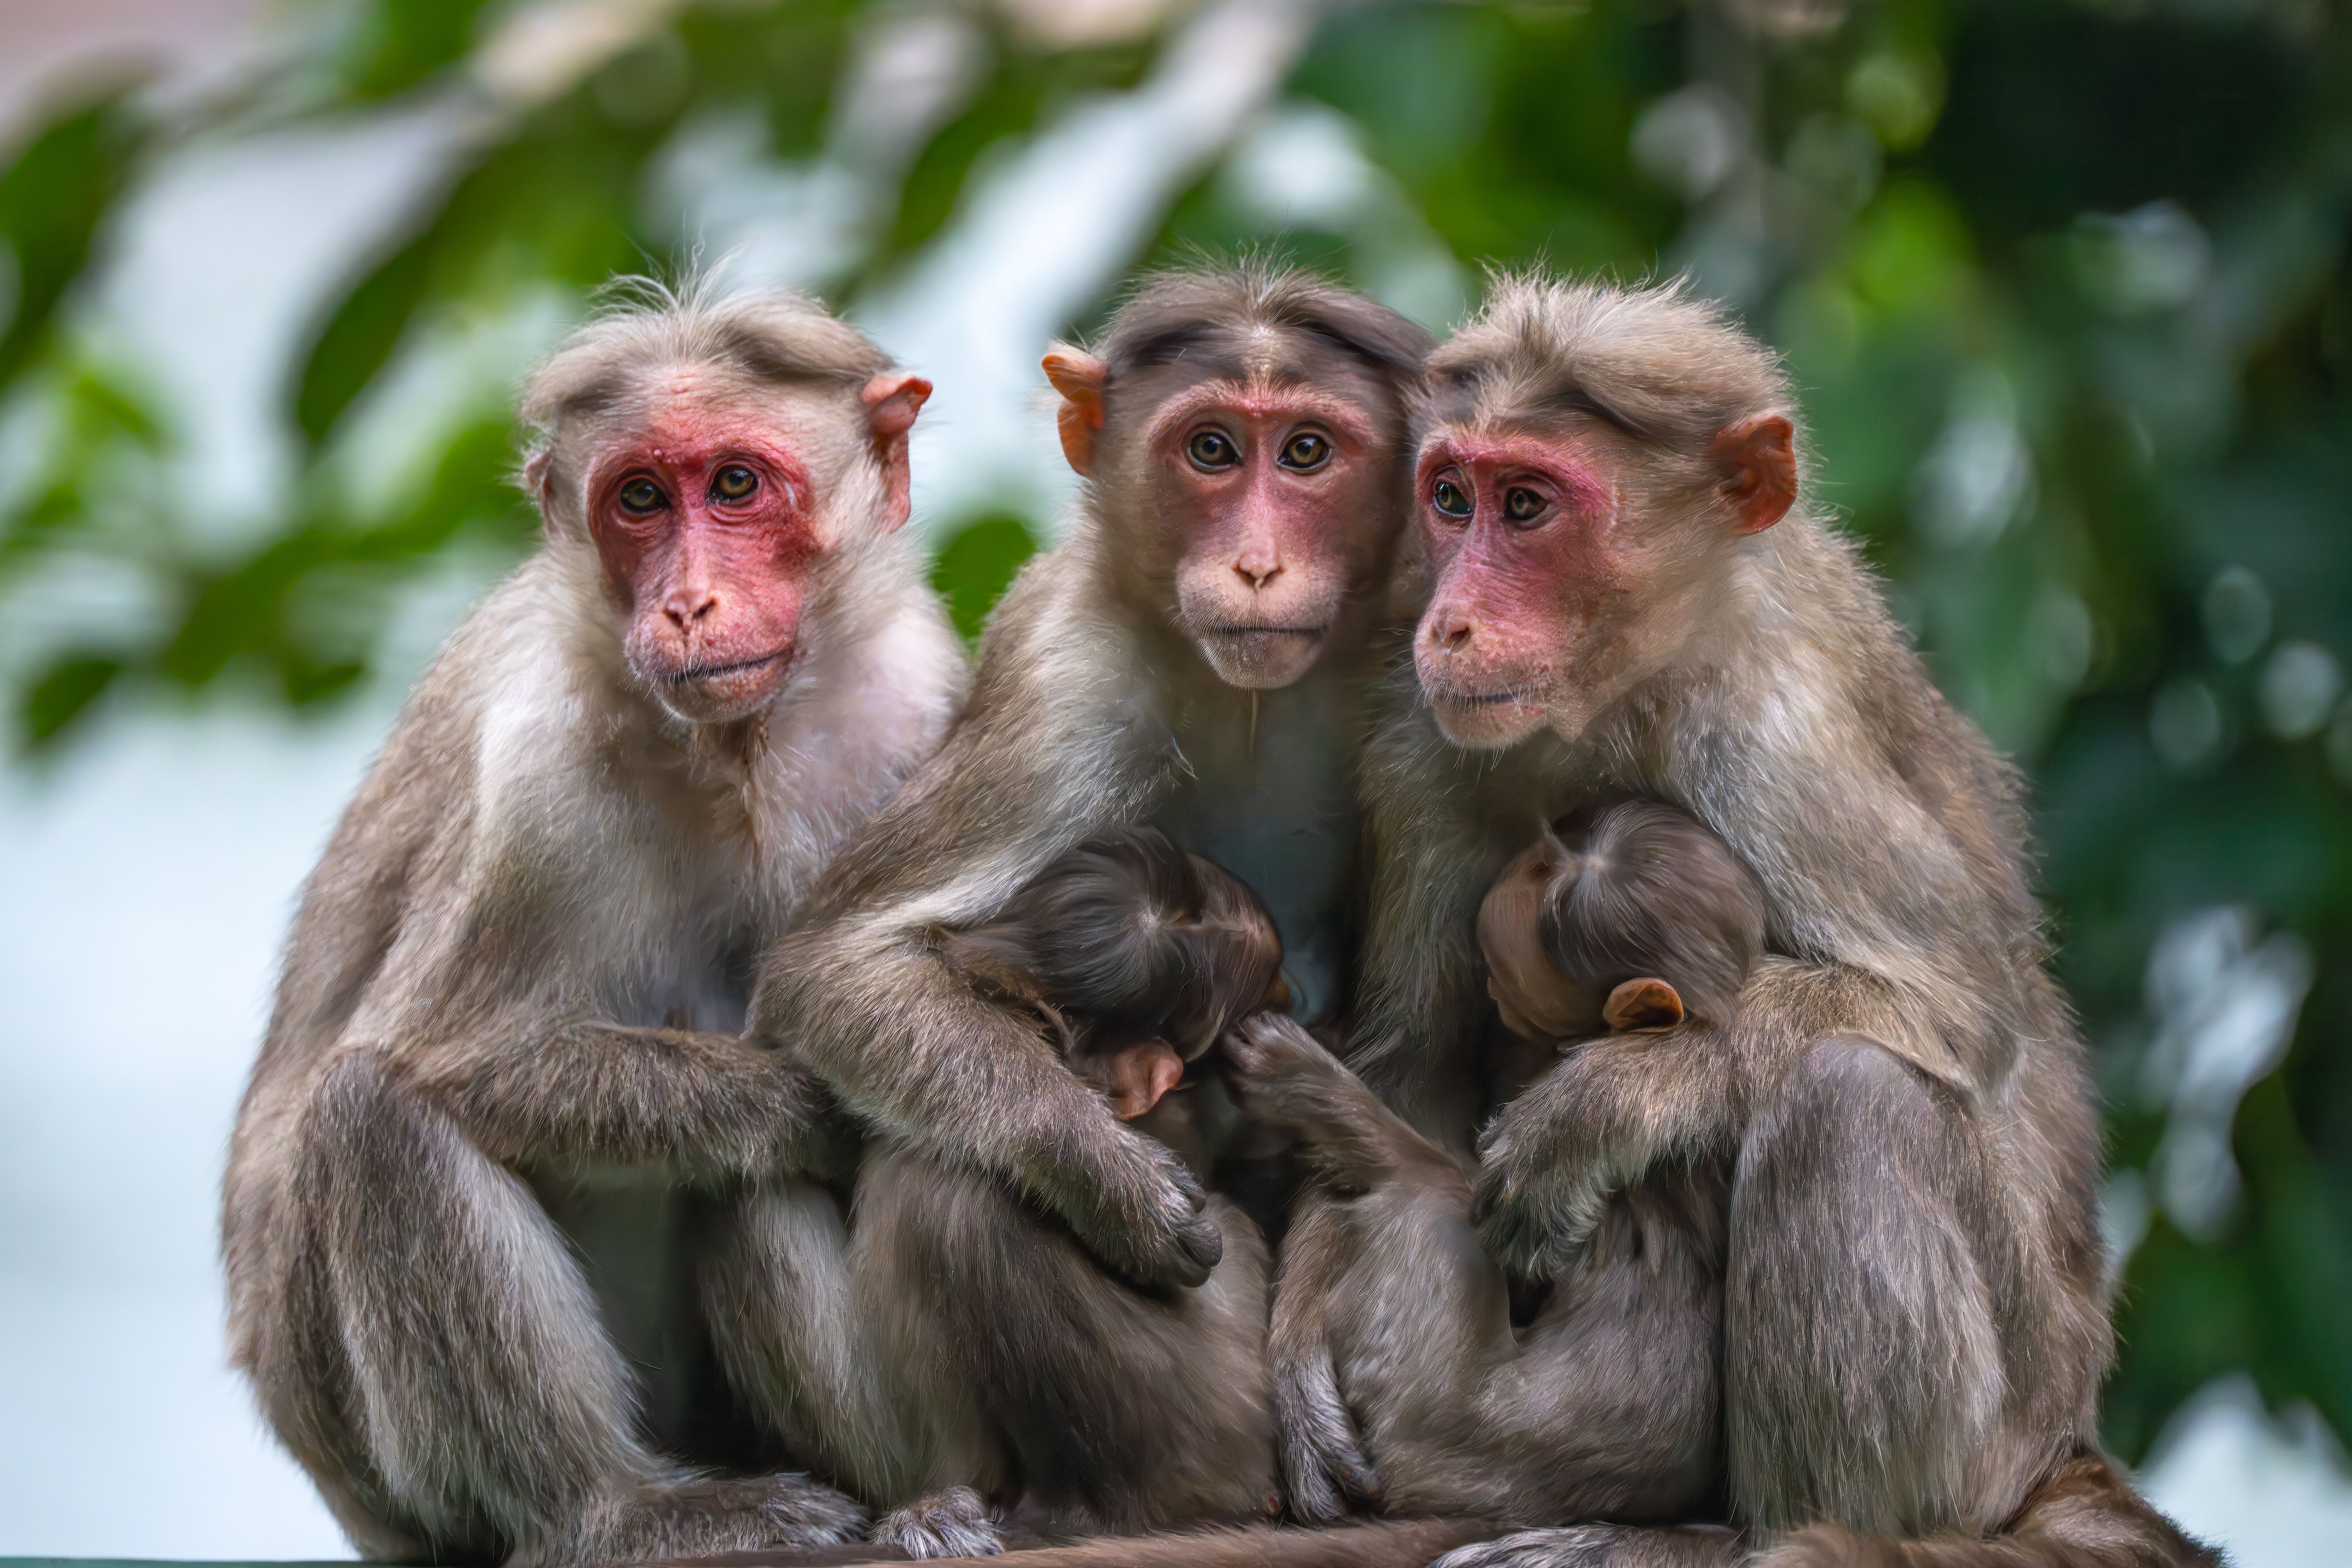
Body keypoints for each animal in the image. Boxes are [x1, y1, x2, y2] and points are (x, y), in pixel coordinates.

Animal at [220, 284, 971, 1567]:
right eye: (639, 500)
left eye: (735, 485)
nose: (686, 601)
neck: (738, 748)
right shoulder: (540, 773)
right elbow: (447, 1050)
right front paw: (798, 1103)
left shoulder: (917, 708)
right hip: (365, 1450)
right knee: (372, 1115)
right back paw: (617, 1509)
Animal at [1262, 274, 2212, 1568]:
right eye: (1450, 498)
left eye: (1527, 506)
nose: (1447, 620)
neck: (1623, 686)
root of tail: (2065, 1435)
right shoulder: (1422, 737)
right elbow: (1414, 1054)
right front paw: (1302, 1330)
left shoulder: (1770, 731)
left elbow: (1951, 1006)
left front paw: (1613, 1100)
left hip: (1992, 1428)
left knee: (1846, 1101)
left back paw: (1755, 1535)